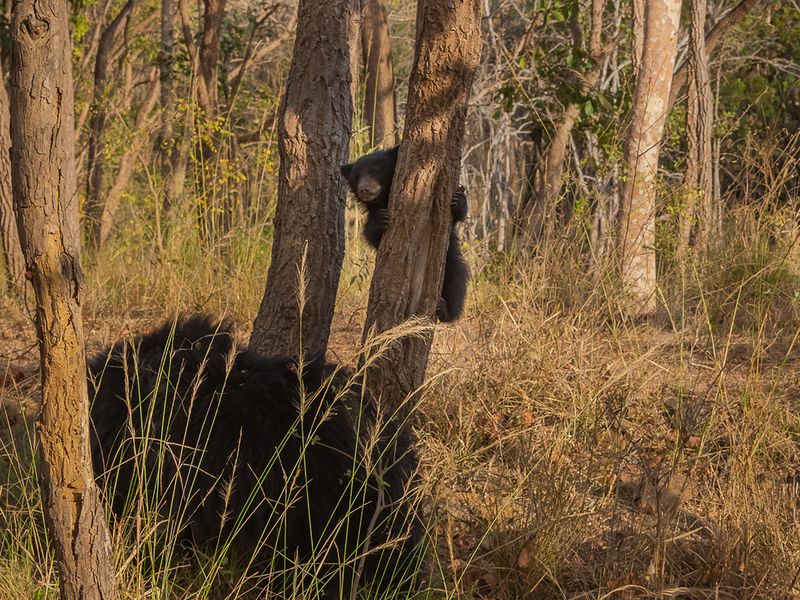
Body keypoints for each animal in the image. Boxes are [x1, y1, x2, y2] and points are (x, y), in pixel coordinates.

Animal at [340, 146, 469, 323]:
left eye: (376, 171)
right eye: (356, 177)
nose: (364, 190)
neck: (384, 197)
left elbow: (454, 217)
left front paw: (458, 200)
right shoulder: (373, 210)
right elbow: (371, 234)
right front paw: (381, 220)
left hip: (449, 259)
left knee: (457, 282)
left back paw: (444, 310)